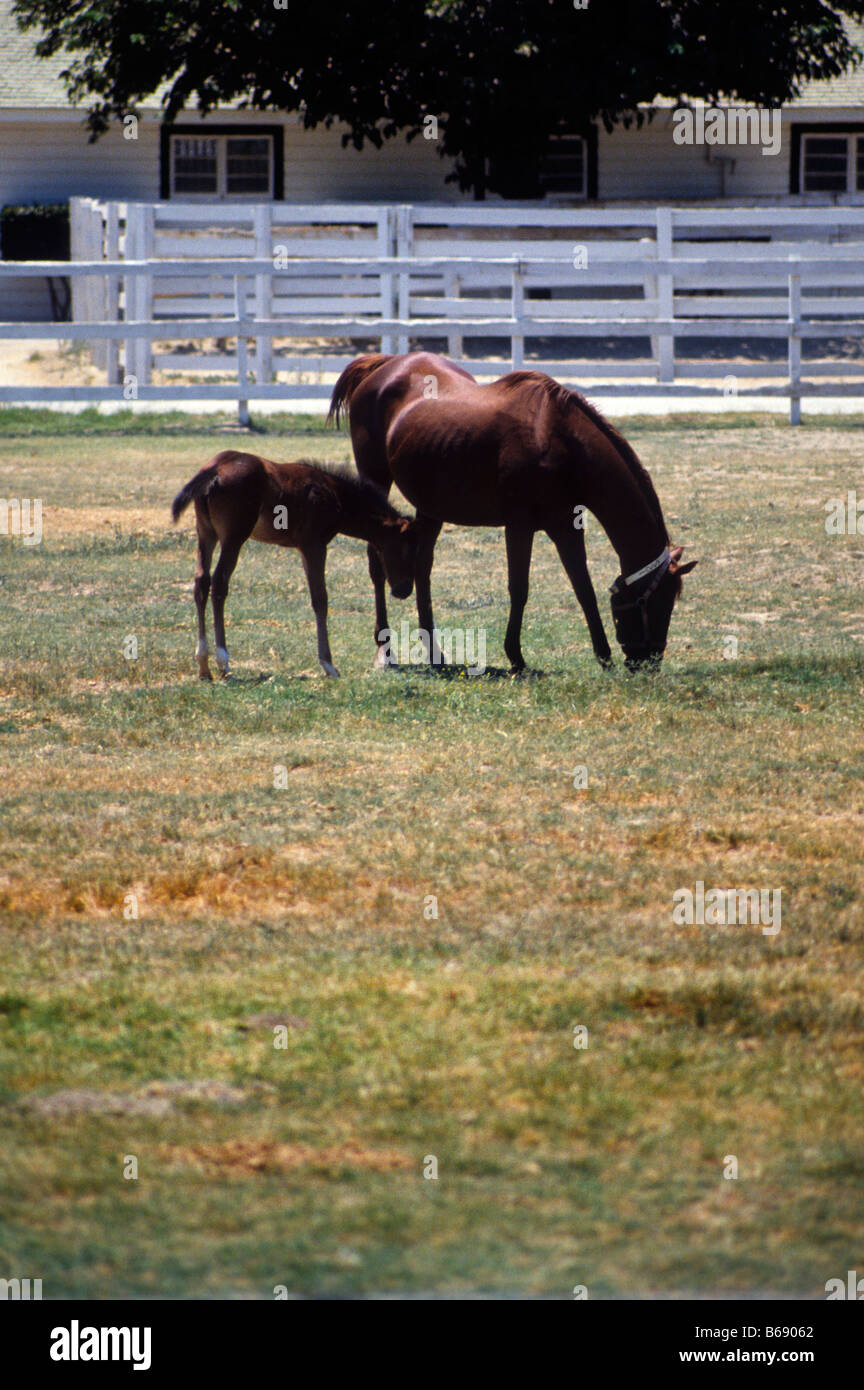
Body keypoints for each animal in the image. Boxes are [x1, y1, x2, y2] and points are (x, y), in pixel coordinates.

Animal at [171, 450, 417, 680]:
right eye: (406, 549)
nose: (404, 590)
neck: (334, 494)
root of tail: (216, 469)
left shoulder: (303, 549)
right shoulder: (314, 545)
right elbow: (320, 599)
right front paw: (328, 664)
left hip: (206, 532)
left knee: (201, 582)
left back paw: (203, 665)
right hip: (233, 537)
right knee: (219, 583)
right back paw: (223, 662)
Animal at [328, 352, 697, 671]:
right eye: (653, 603)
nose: (648, 662)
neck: (560, 440)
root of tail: (384, 365)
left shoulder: (566, 526)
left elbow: (583, 588)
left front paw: (603, 657)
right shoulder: (518, 527)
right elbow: (519, 588)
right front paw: (516, 656)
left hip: (430, 506)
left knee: (422, 567)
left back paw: (435, 652)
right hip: (376, 480)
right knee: (377, 560)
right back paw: (385, 648)